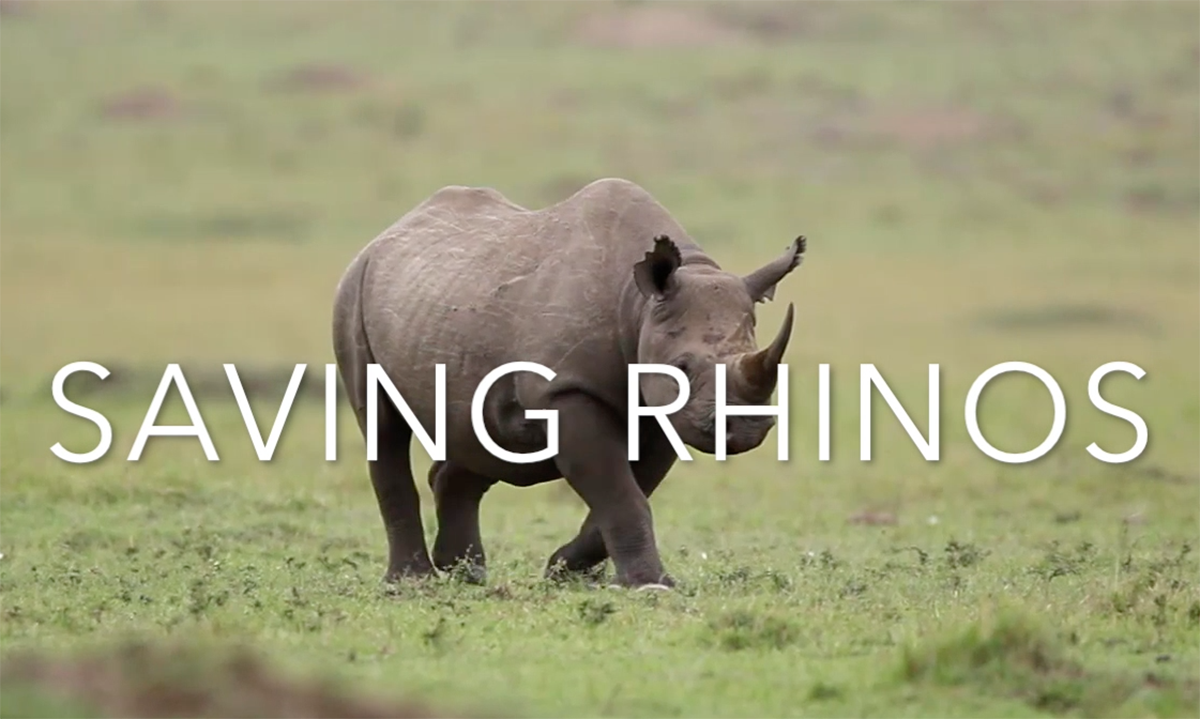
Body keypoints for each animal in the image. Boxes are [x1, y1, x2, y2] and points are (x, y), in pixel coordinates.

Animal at [331, 178, 806, 589]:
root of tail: (386, 235)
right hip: (353, 290)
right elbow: (619, 492)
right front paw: (650, 585)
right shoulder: (565, 389)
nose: (746, 428)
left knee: (484, 437)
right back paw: (412, 581)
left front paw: (563, 570)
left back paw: (467, 573)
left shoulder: (660, 406)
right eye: (683, 366)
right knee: (383, 427)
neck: (638, 305)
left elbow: (630, 490)